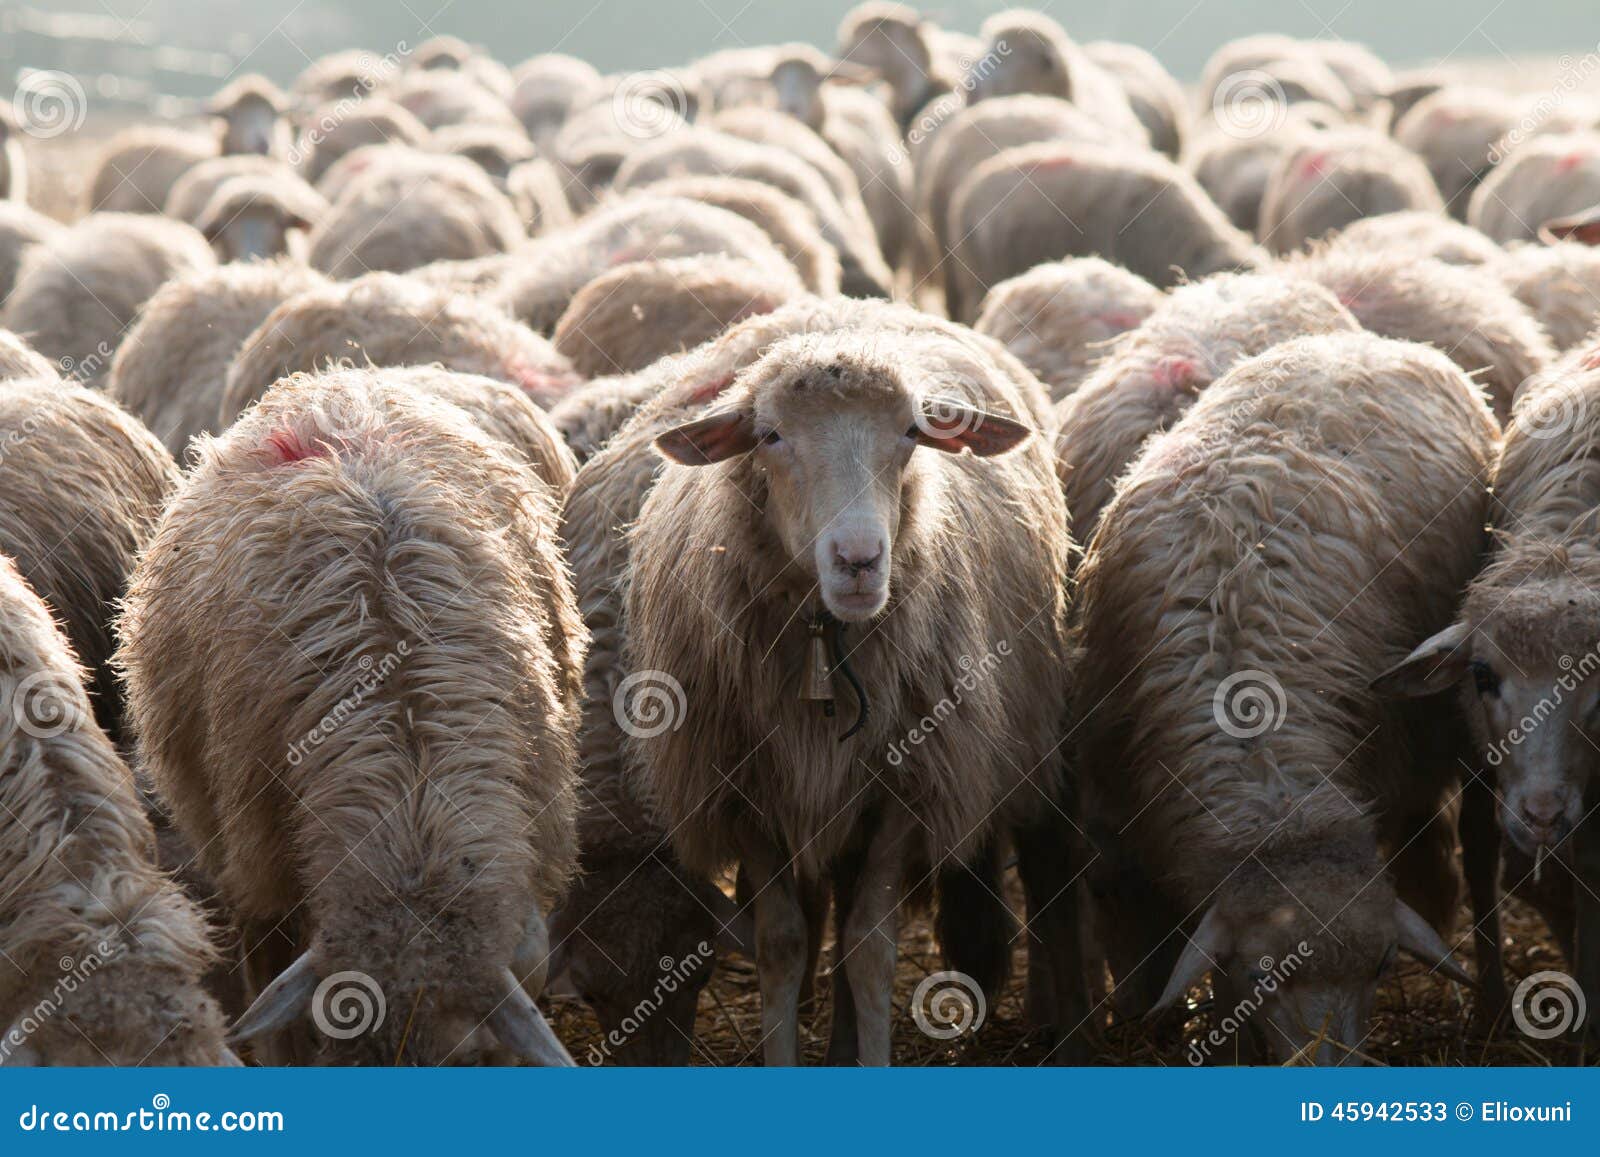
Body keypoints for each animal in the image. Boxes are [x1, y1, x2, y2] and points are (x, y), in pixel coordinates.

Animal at [625, 303, 1084, 1065]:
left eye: (912, 432)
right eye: (771, 435)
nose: (860, 561)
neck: (825, 635)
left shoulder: (907, 781)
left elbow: (870, 948)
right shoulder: (746, 786)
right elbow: (782, 945)